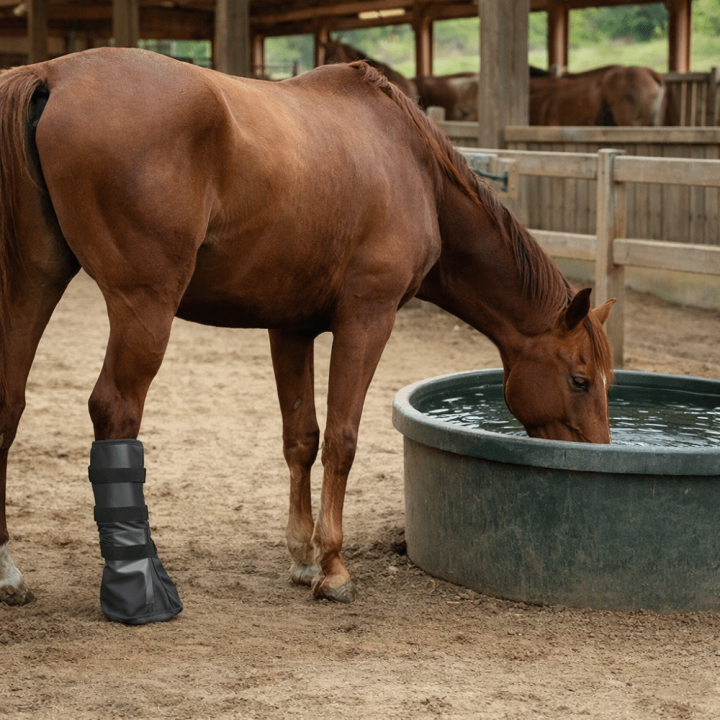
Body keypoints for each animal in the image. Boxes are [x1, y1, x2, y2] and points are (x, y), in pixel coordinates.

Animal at [0, 48, 615, 612]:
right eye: (580, 380)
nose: (599, 454)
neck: (412, 166)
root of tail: (52, 74)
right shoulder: (367, 319)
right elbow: (342, 439)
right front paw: (334, 567)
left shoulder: (289, 328)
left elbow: (301, 437)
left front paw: (301, 557)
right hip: (142, 307)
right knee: (116, 411)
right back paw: (139, 591)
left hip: (33, 285)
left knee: (10, 404)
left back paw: (8, 571)